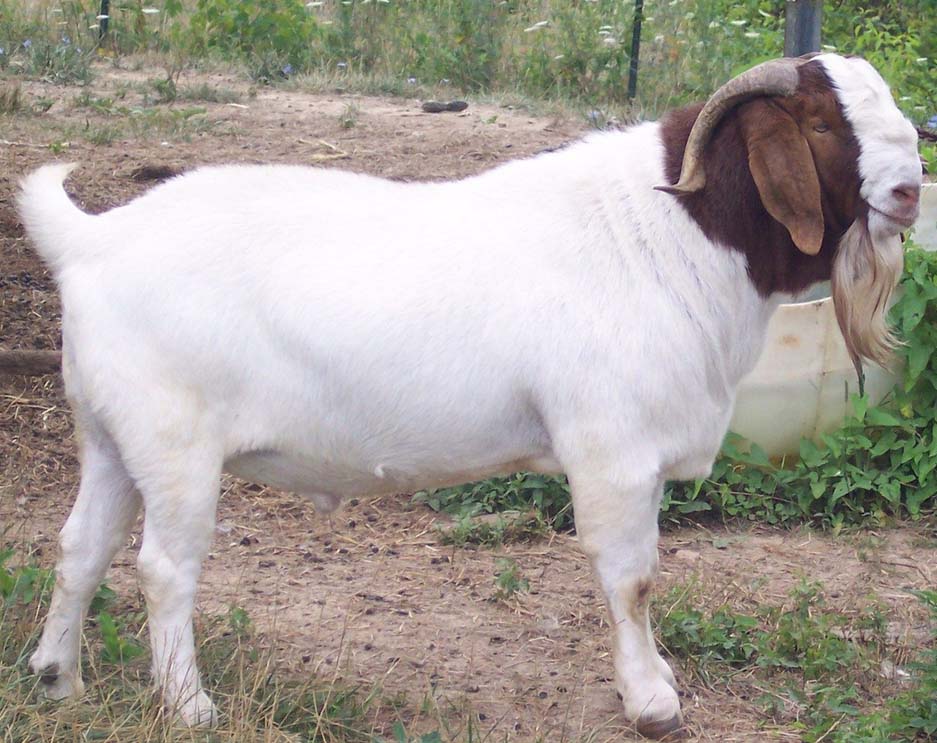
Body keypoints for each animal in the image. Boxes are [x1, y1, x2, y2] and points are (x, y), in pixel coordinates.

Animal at [17, 54, 921, 738]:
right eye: (818, 124)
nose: (910, 187)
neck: (667, 233)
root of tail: (91, 239)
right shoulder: (613, 451)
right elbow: (631, 578)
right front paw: (652, 700)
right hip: (176, 444)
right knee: (165, 567)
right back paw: (191, 705)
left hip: (109, 436)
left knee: (81, 547)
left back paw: (57, 679)